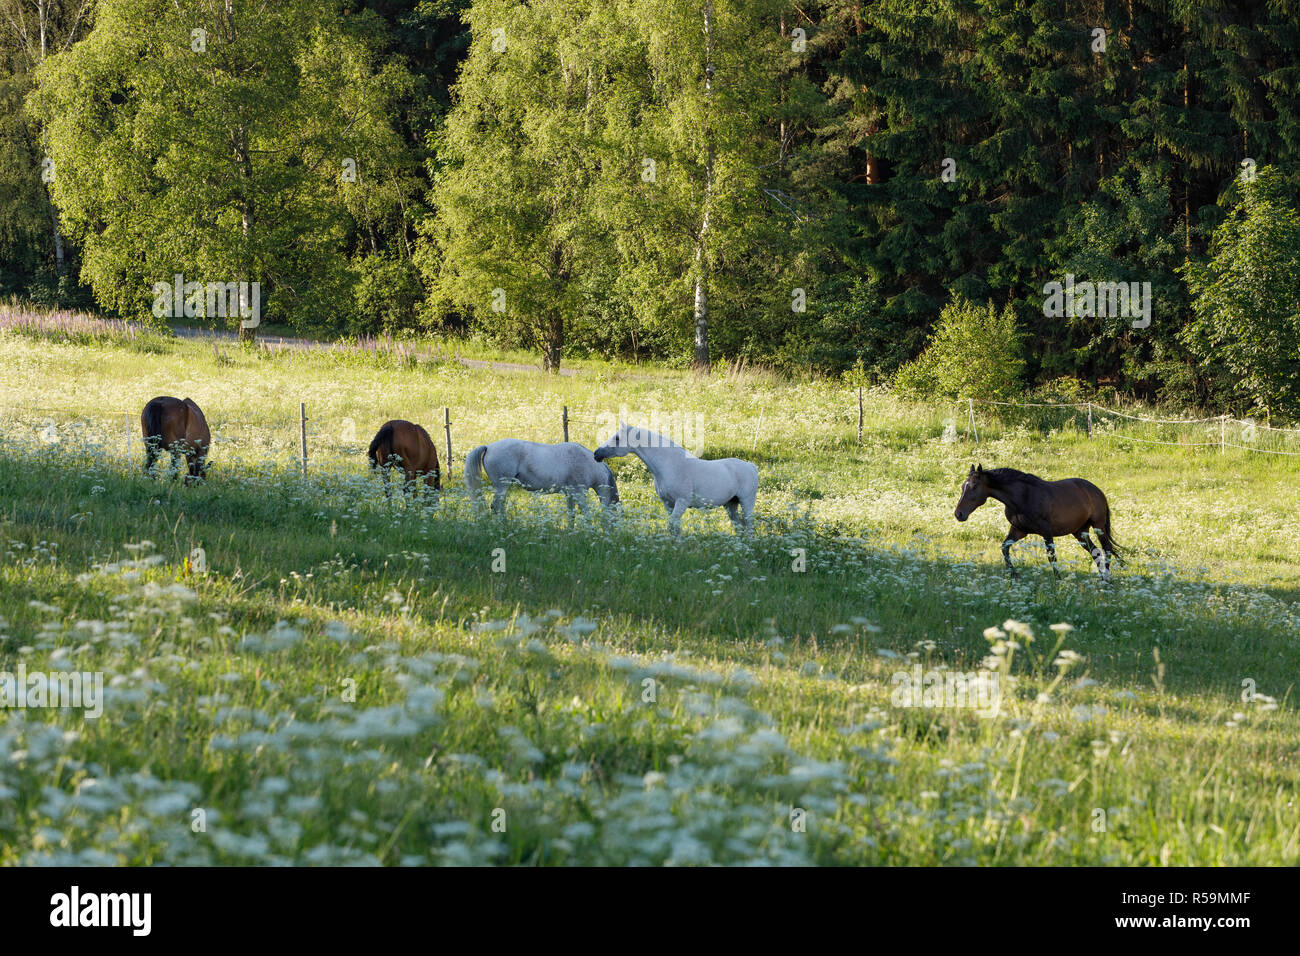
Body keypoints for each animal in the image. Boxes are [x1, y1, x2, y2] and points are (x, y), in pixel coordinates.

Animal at [465, 439, 618, 523]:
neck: (588, 463)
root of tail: (489, 447)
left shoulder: (570, 494)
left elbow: (571, 515)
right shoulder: (579, 494)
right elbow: (586, 514)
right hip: (502, 486)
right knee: (496, 506)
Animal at [593, 423, 757, 535]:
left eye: (617, 438)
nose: (596, 453)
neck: (670, 465)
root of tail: (751, 466)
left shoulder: (682, 502)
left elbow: (673, 524)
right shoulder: (668, 503)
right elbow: (673, 526)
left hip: (746, 502)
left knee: (749, 525)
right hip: (731, 505)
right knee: (738, 525)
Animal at [953, 464, 1120, 579]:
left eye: (974, 486)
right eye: (963, 486)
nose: (958, 514)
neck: (1022, 497)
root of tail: (1096, 490)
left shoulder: (1046, 532)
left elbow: (1052, 557)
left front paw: (1058, 580)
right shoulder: (1018, 530)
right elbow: (1004, 548)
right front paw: (1014, 575)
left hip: (1098, 526)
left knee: (1107, 548)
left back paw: (1107, 579)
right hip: (1080, 532)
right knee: (1095, 551)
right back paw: (1102, 577)